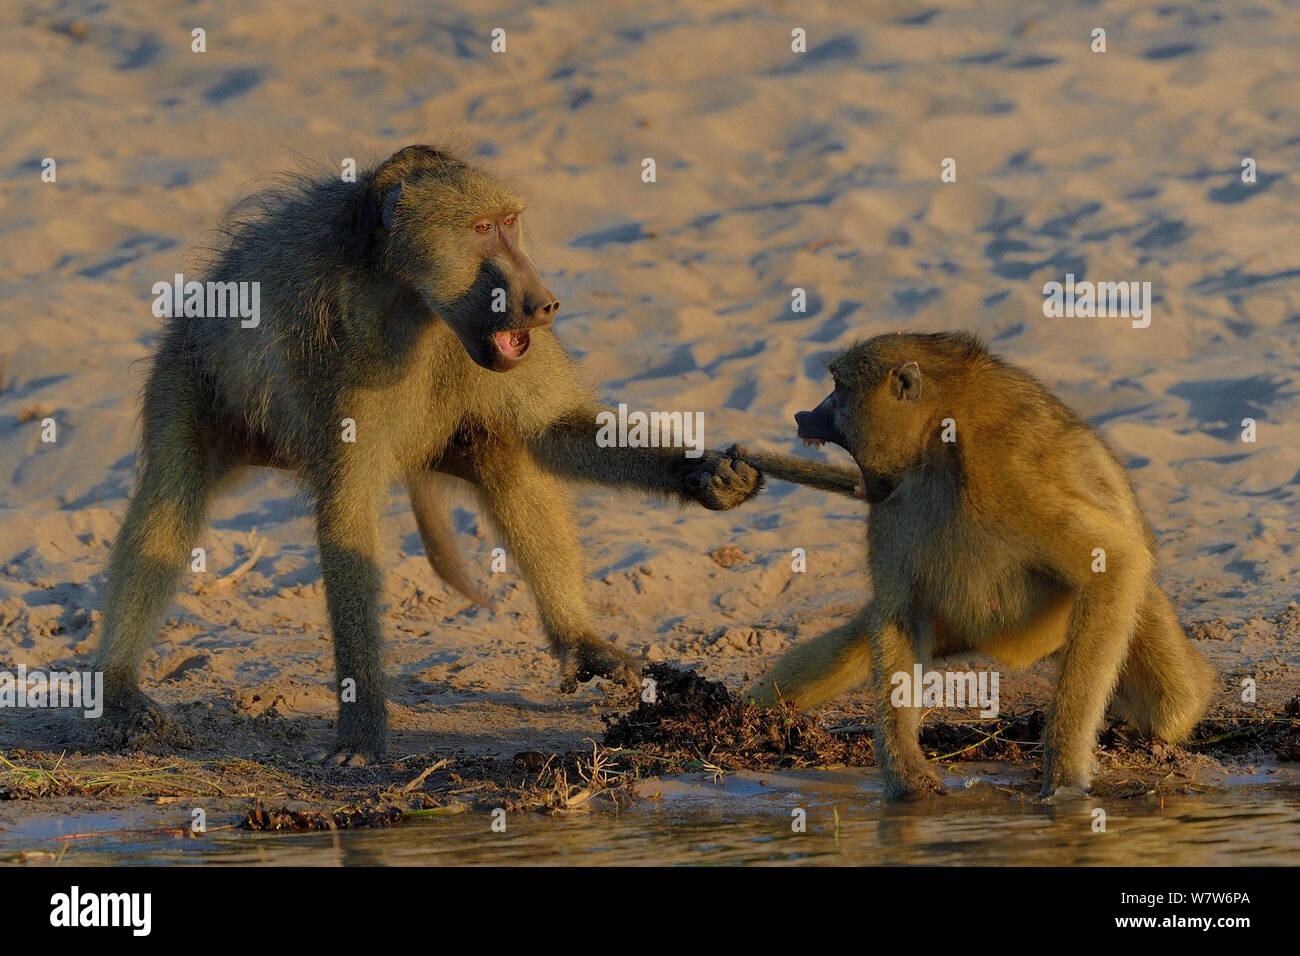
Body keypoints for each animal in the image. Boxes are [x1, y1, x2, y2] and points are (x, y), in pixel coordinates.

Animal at [95, 144, 762, 765]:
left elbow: (557, 431)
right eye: (481, 228)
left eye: (511, 222)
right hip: (192, 373)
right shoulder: (344, 349)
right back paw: (119, 688)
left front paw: (710, 474)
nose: (544, 302)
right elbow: (348, 519)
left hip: (446, 439)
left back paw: (579, 641)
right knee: (170, 497)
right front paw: (361, 727)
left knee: (507, 460)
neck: (412, 297)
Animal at [743, 331, 1215, 799]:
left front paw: (1064, 779)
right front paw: (907, 778)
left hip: (1116, 615)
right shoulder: (891, 509)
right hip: (951, 627)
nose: (804, 415)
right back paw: (750, 715)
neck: (935, 446)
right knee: (854, 645)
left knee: (1172, 700)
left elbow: (1114, 560)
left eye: (839, 390)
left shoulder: (1006, 476)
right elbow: (899, 615)